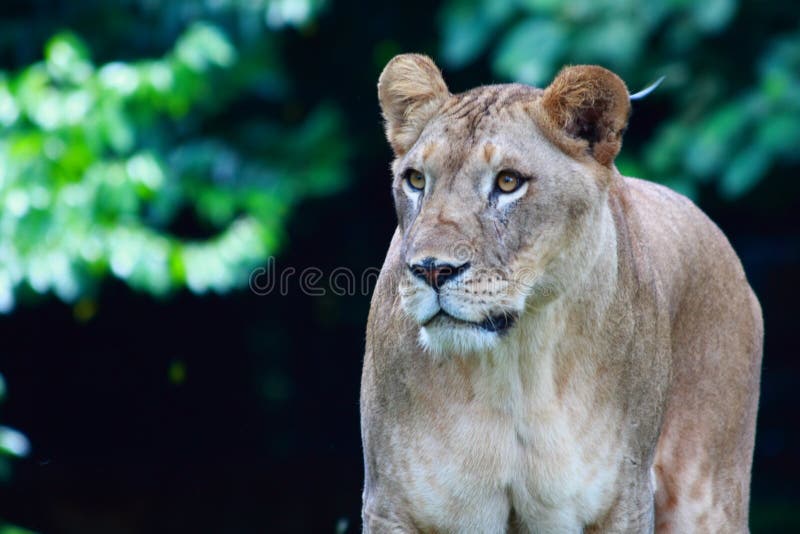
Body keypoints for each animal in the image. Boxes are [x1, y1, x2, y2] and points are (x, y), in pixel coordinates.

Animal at [360, 54, 763, 533]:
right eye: (417, 180)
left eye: (508, 182)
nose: (431, 270)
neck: (517, 365)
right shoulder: (391, 505)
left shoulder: (623, 503)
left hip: (706, 500)